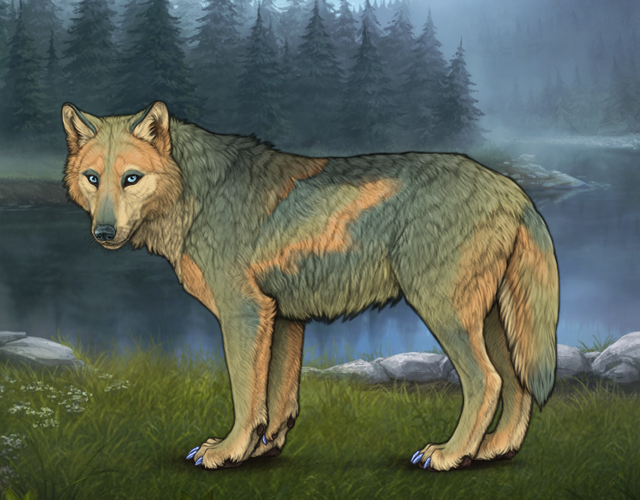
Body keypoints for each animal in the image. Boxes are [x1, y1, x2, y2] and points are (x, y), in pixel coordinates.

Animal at [61, 101, 559, 472]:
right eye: (93, 179)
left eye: (131, 178)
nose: (103, 233)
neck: (196, 195)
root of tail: (513, 189)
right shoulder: (283, 318)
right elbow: (277, 401)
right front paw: (261, 450)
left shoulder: (245, 313)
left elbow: (246, 394)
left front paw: (228, 452)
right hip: (493, 324)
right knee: (517, 385)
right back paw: (494, 450)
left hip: (446, 315)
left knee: (487, 382)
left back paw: (451, 455)